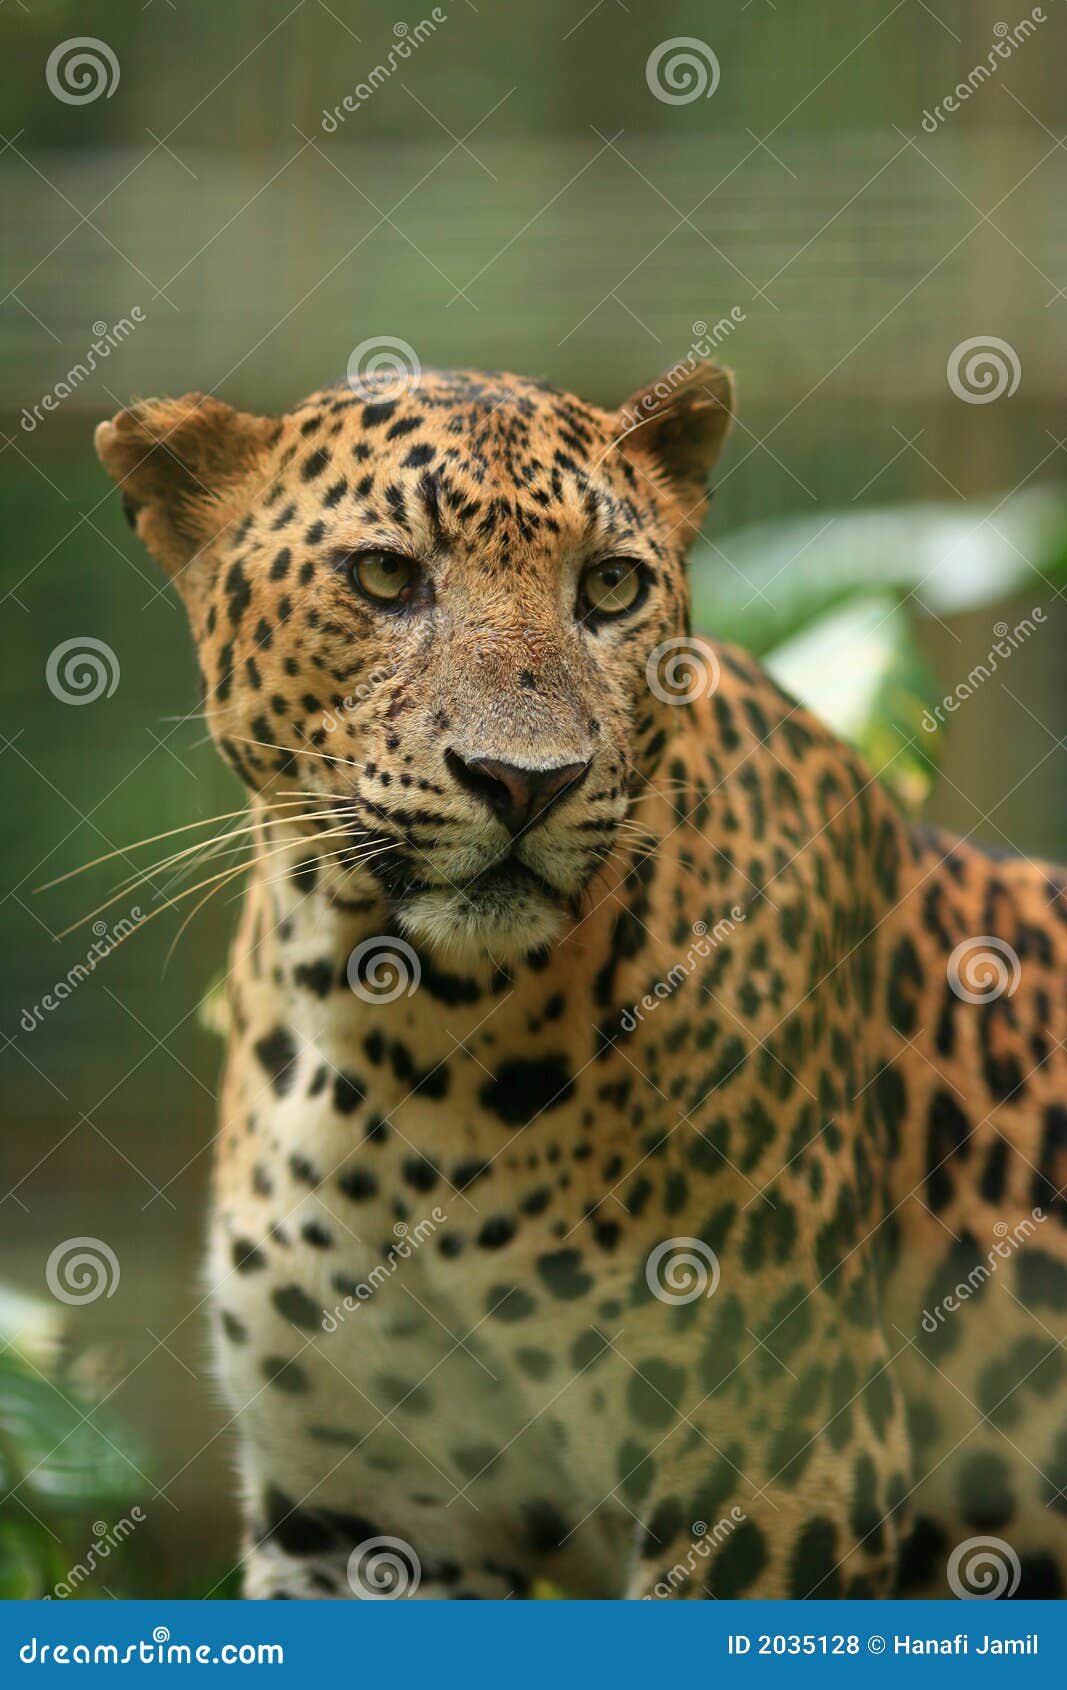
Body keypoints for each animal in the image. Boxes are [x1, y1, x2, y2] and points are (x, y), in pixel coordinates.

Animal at [94, 359, 1067, 1601]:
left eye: (609, 586)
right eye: (383, 575)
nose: (525, 781)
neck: (395, 1038)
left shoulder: (775, 1479)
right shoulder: (362, 1513)